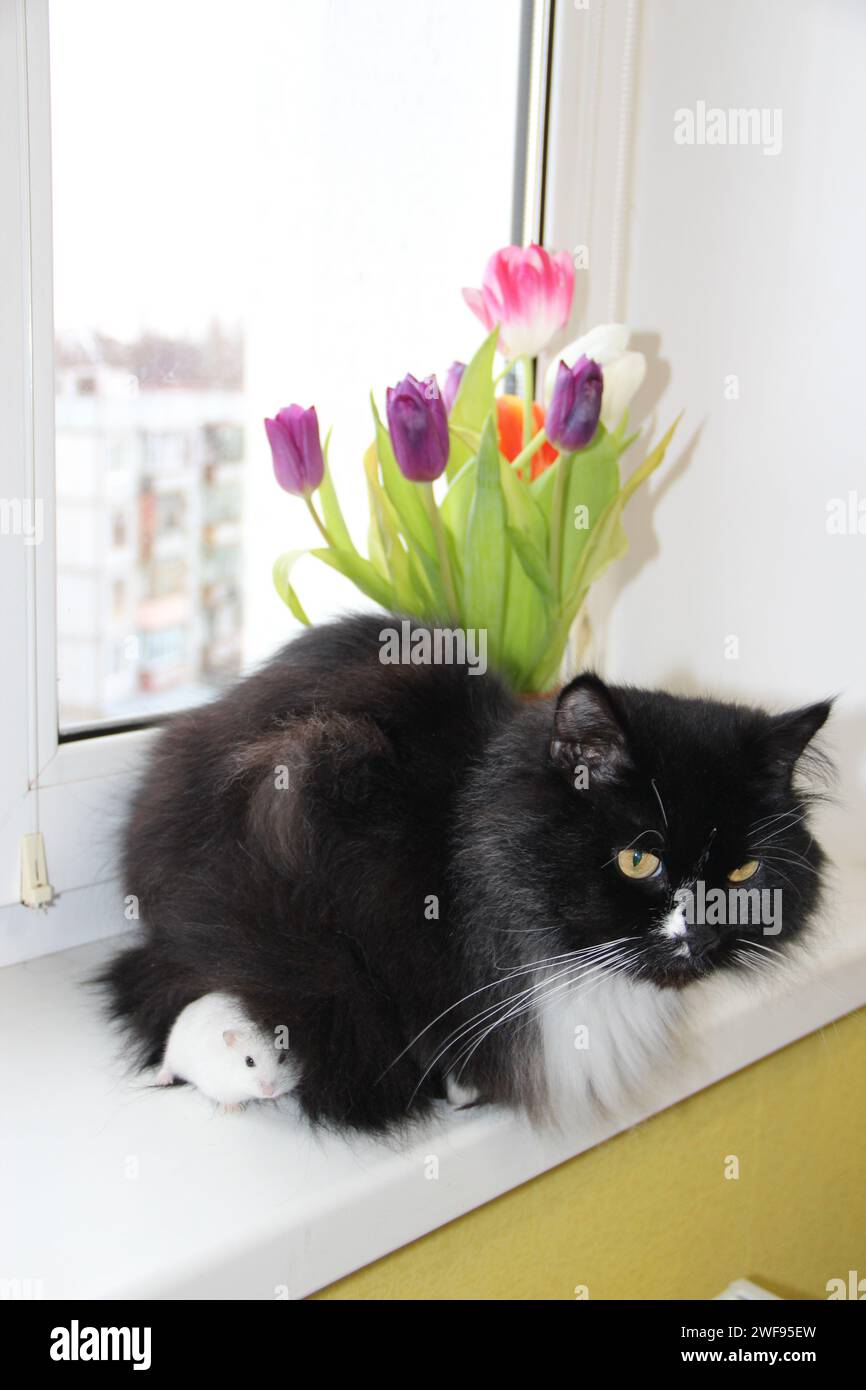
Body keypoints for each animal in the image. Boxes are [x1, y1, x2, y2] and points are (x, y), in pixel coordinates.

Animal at [156, 992, 296, 1111]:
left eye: (282, 1058)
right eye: (249, 1061)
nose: (269, 1093)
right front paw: (234, 1109)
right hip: (173, 1052)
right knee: (167, 1066)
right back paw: (162, 1080)